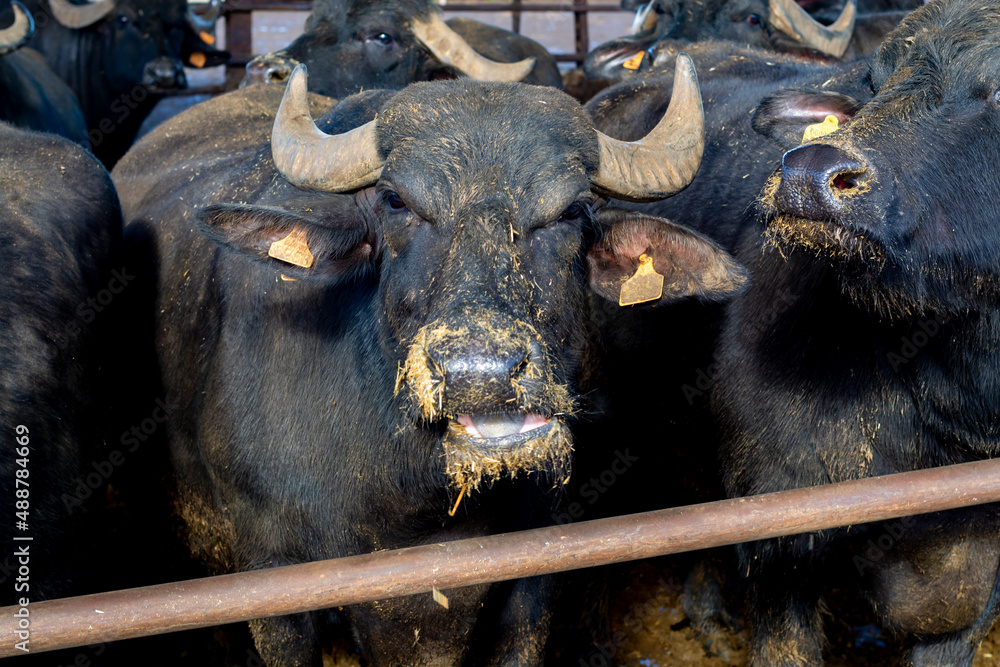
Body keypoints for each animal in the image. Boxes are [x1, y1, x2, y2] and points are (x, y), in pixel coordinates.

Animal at [111, 58, 745, 664]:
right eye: (396, 202)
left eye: (572, 211)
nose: (479, 375)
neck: (419, 508)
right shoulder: (271, 586)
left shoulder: (534, 584)